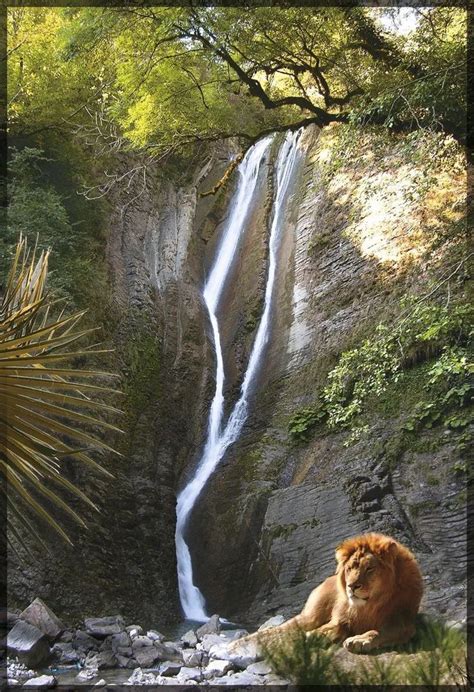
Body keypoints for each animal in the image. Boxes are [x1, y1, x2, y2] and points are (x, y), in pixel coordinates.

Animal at [233, 536, 422, 656]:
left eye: (369, 569)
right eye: (350, 568)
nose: (351, 586)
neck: (370, 605)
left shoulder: (404, 623)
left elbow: (378, 632)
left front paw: (358, 640)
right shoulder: (341, 618)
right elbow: (331, 627)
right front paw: (313, 637)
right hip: (311, 616)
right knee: (279, 629)